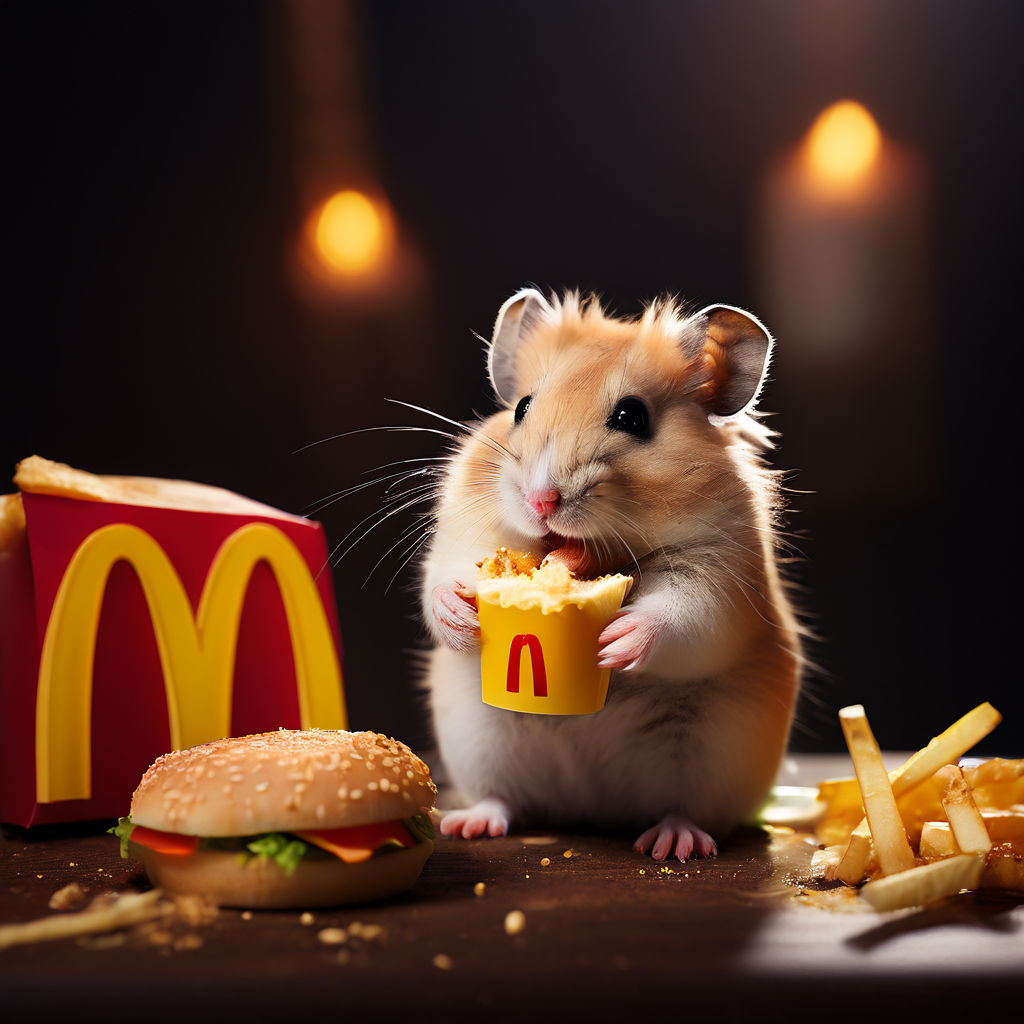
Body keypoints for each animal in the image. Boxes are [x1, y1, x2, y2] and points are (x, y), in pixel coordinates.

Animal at [419, 288, 802, 861]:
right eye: (521, 407)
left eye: (632, 416)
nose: (541, 501)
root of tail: (590, 808)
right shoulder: (462, 534)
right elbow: (439, 581)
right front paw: (461, 616)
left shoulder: (721, 568)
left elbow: (681, 613)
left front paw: (614, 642)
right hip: (480, 739)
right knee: (502, 798)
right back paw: (467, 825)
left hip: (713, 756)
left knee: (686, 810)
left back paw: (673, 842)